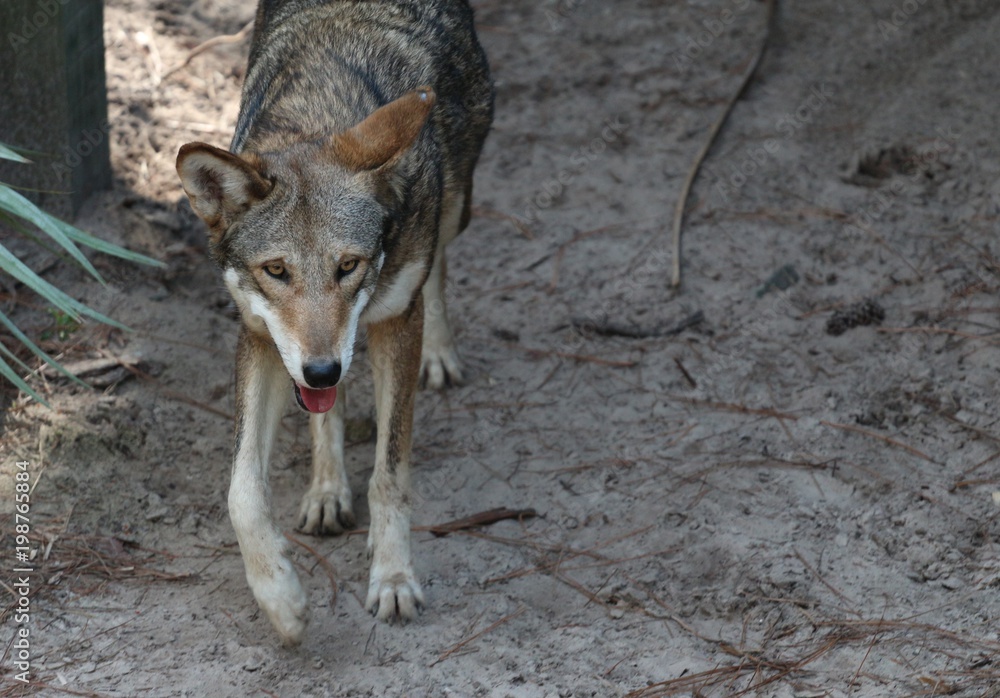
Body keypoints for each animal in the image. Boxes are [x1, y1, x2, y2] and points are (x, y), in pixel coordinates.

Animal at [176, 0, 493, 645]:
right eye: (276, 270)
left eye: (348, 265)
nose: (321, 370)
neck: (315, 112)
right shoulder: (260, 338)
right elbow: (242, 491)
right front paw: (281, 599)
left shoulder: (396, 320)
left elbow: (390, 477)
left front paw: (393, 579)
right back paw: (325, 490)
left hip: (457, 206)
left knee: (441, 266)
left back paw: (439, 356)